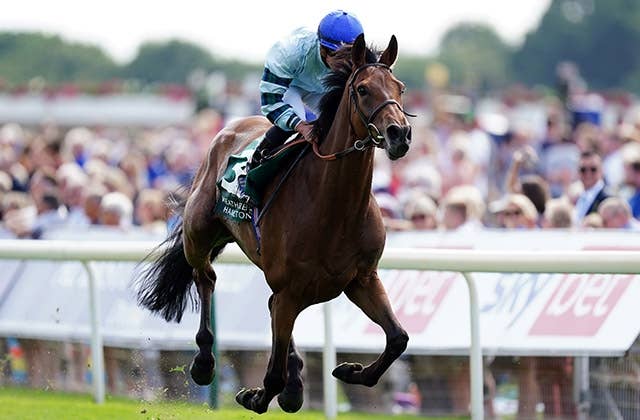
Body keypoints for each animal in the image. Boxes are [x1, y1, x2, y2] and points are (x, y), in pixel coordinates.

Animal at [136, 33, 412, 414]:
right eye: (362, 89)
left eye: (400, 88)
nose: (400, 133)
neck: (335, 208)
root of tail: (229, 128)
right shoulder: (290, 288)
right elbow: (273, 375)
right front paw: (254, 395)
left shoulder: (362, 279)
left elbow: (398, 338)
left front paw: (350, 370)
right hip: (199, 234)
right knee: (205, 277)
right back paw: (205, 362)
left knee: (269, 310)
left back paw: (295, 386)